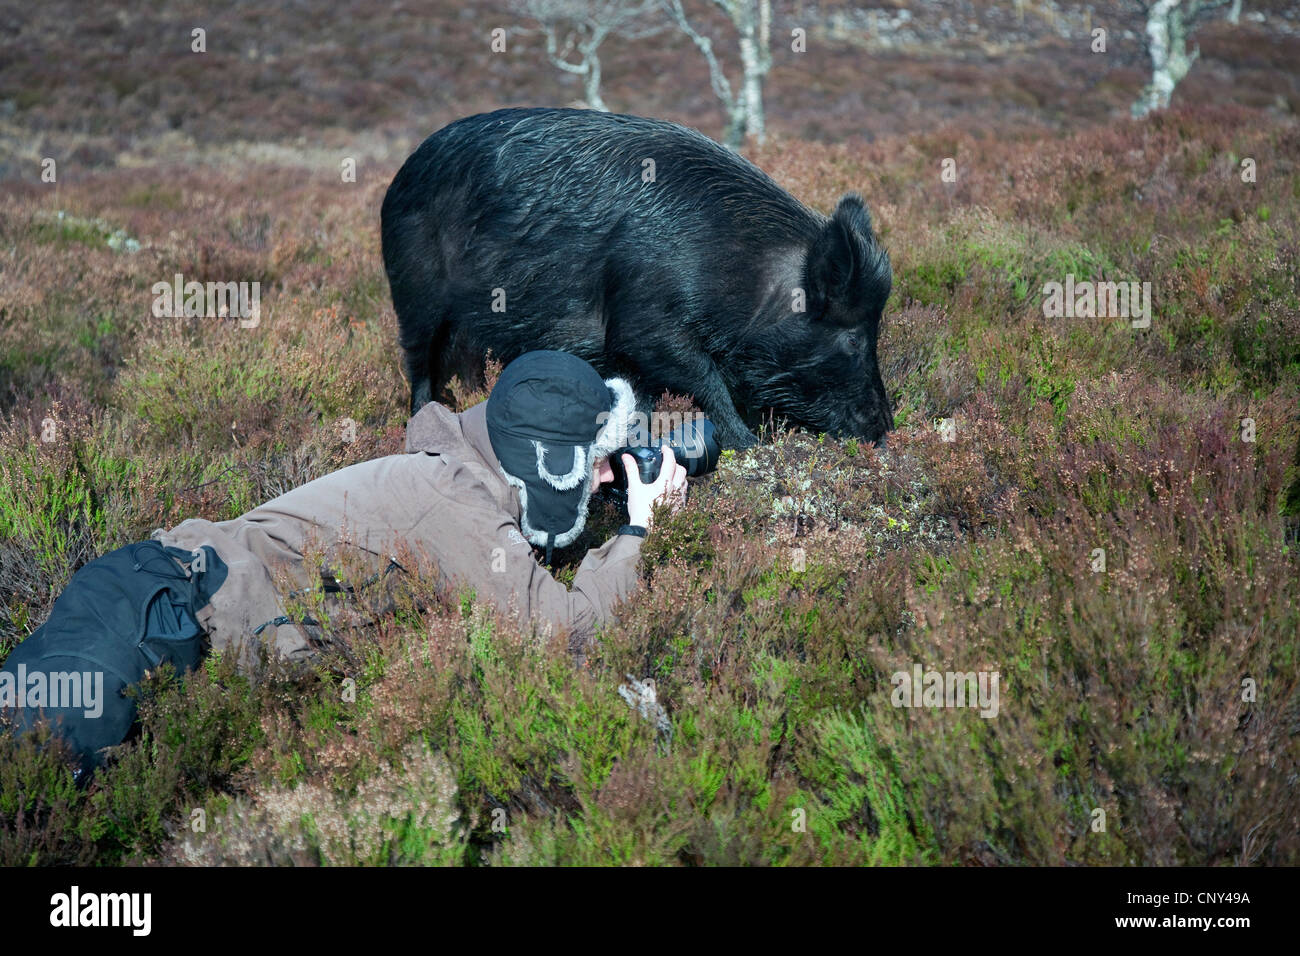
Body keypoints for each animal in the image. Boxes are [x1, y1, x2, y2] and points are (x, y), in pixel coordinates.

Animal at [381, 107, 894, 450]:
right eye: (852, 338)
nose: (886, 428)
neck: (742, 273)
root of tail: (402, 173)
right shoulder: (644, 325)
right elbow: (707, 379)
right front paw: (750, 445)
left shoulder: (630, 354)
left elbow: (645, 399)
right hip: (414, 295)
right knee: (419, 364)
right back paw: (423, 422)